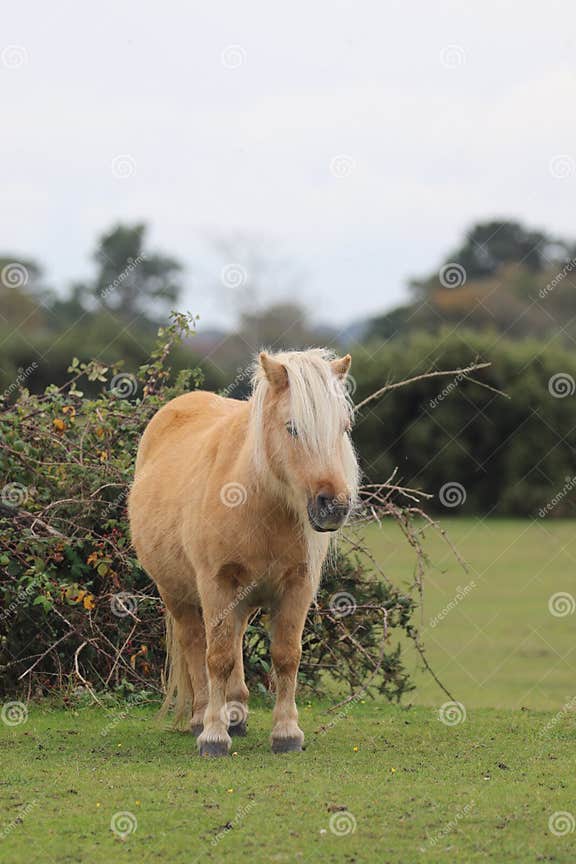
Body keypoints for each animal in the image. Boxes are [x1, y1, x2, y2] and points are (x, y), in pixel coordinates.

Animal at [128, 348, 359, 756]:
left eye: (343, 428)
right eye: (293, 428)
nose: (334, 506)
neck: (260, 503)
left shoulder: (297, 586)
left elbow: (286, 656)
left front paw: (286, 733)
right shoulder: (216, 584)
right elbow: (216, 658)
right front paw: (213, 736)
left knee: (234, 640)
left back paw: (236, 714)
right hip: (178, 595)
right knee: (195, 644)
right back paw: (202, 717)